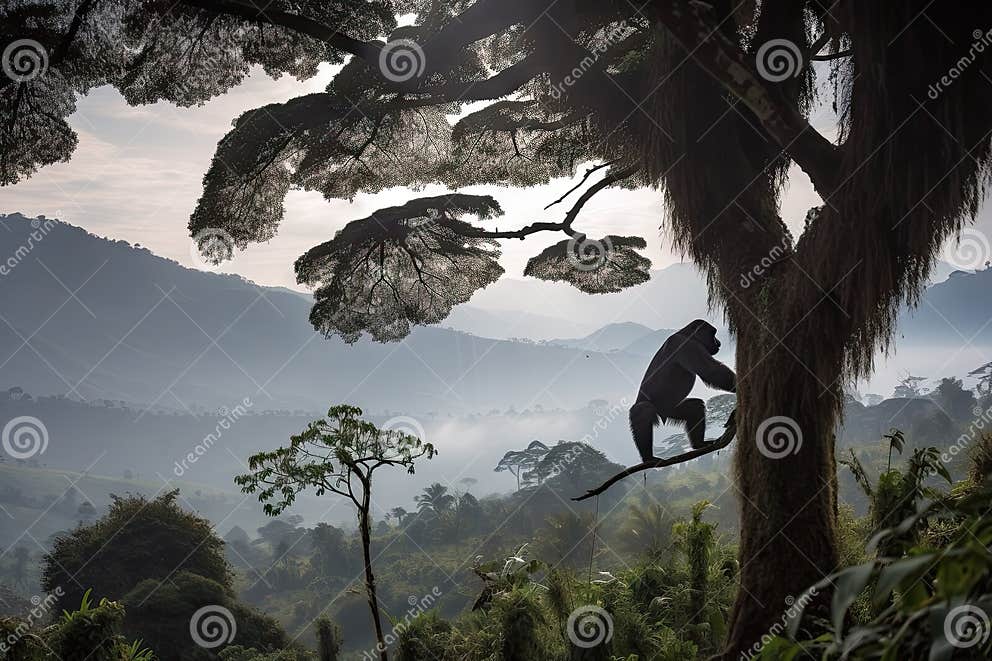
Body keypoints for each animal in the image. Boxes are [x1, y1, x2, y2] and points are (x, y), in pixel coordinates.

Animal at [629, 319, 736, 462]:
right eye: (713, 334)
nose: (718, 342)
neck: (686, 334)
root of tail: (662, 415)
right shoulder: (686, 345)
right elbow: (711, 372)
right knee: (643, 409)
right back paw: (648, 458)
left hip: (671, 410)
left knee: (695, 407)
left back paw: (699, 444)